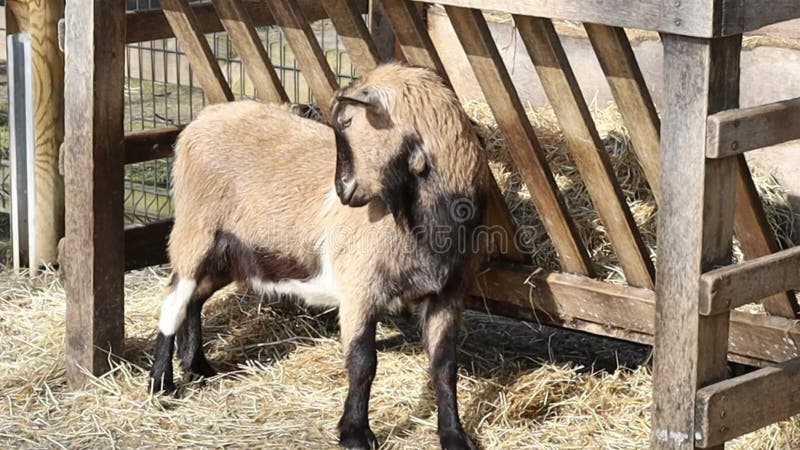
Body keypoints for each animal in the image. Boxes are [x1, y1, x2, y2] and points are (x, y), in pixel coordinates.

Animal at [150, 63, 491, 450]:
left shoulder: (448, 293)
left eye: (347, 122)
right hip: (194, 231)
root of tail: (201, 119)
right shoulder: (359, 288)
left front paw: (454, 436)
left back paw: (197, 366)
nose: (342, 190)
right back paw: (161, 383)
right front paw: (355, 433)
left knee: (194, 298)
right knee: (173, 300)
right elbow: (362, 362)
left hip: (230, 252)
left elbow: (445, 366)